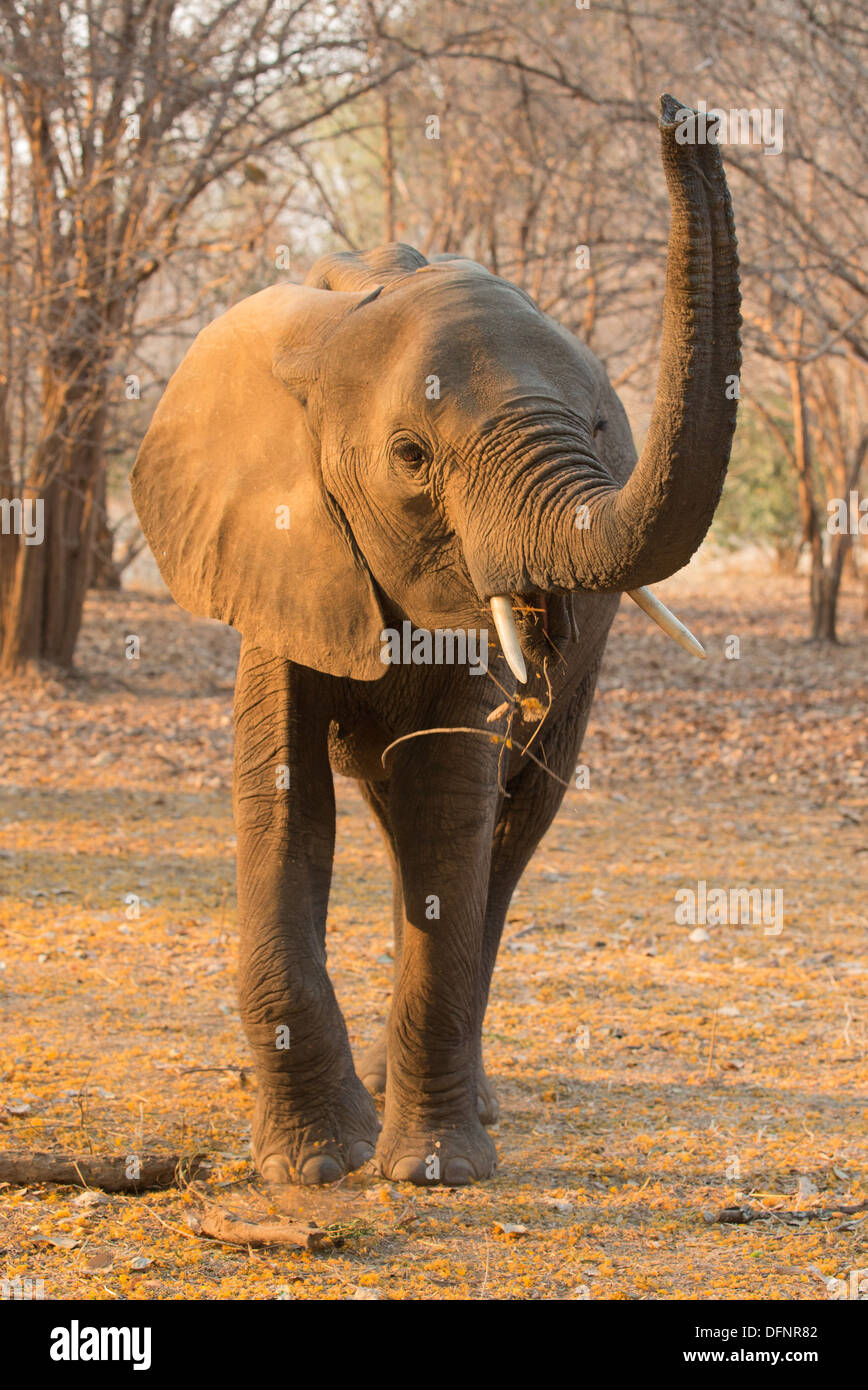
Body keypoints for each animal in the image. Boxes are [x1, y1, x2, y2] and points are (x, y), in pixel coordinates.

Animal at [130, 94, 740, 1186]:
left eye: (598, 427)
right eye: (411, 456)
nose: (683, 113)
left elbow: (452, 795)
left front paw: (432, 1172)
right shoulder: (277, 548)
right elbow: (284, 793)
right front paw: (318, 1164)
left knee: (504, 831)